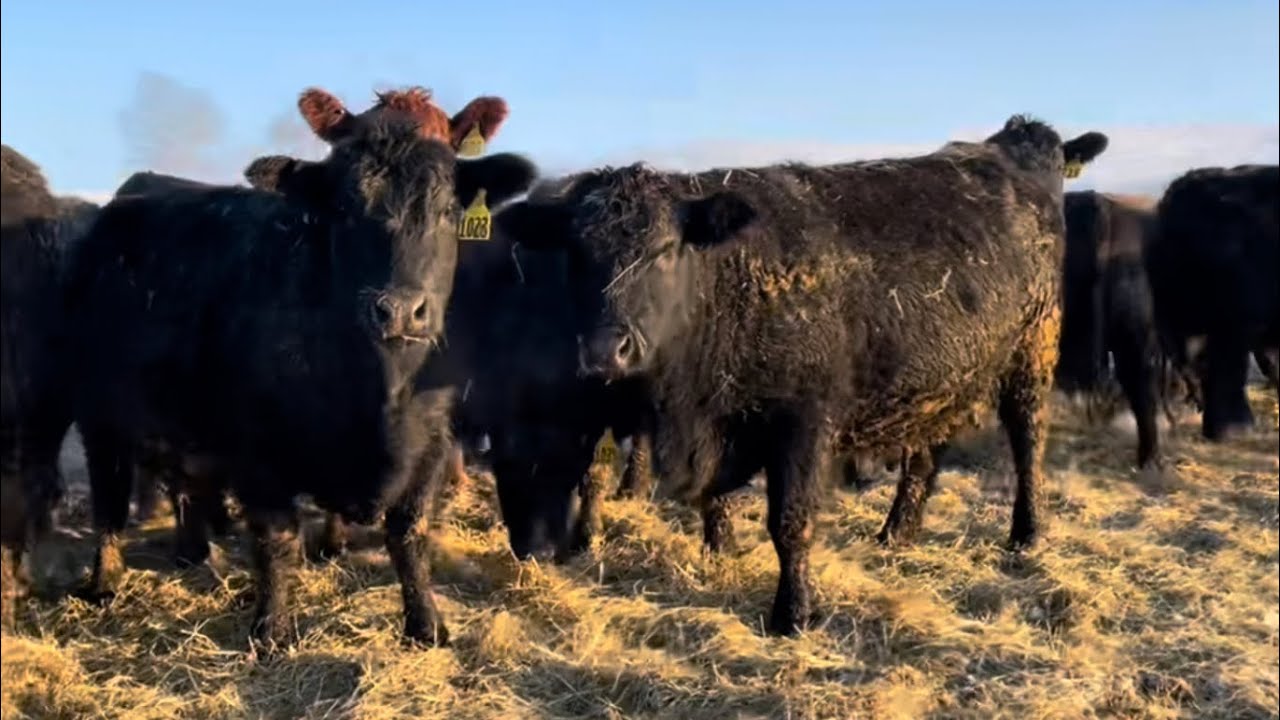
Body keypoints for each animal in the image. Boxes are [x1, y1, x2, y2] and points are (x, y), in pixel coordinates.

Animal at [63, 98, 539, 650]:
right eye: (345, 212)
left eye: (446, 210)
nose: (400, 311)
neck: (380, 392)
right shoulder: (256, 449)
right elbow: (276, 537)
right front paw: (272, 630)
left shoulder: (434, 439)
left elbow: (408, 532)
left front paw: (426, 624)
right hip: (99, 413)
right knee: (109, 501)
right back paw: (104, 581)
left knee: (182, 485)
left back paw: (195, 553)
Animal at [494, 115, 1109, 635]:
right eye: (576, 252)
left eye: (666, 249)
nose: (606, 351)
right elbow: (711, 499)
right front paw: (720, 552)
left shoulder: (804, 422)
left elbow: (789, 521)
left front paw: (793, 613)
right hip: (941, 376)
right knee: (925, 455)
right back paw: (897, 534)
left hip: (1033, 350)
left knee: (1027, 441)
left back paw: (1026, 534)